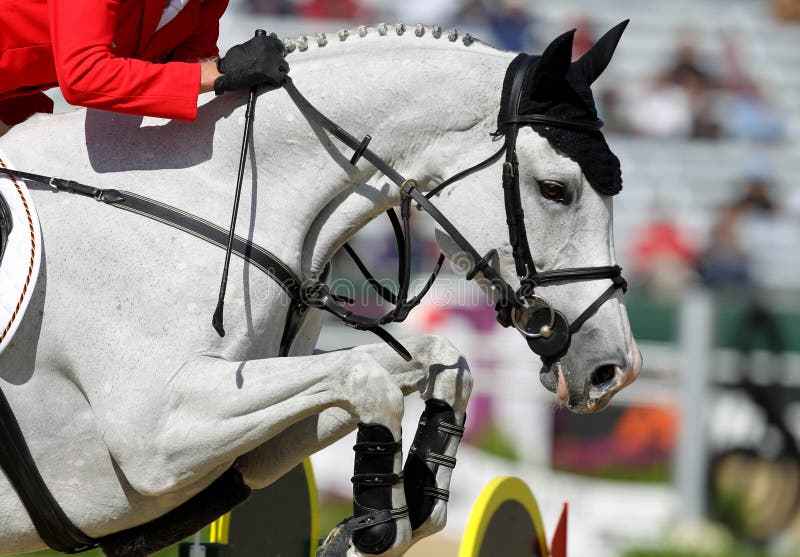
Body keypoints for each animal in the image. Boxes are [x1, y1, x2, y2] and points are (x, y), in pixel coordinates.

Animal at [0, 21, 641, 557]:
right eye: (554, 189)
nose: (614, 370)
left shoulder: (240, 444)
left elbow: (438, 362)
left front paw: (416, 498)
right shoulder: (158, 437)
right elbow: (367, 378)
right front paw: (379, 524)